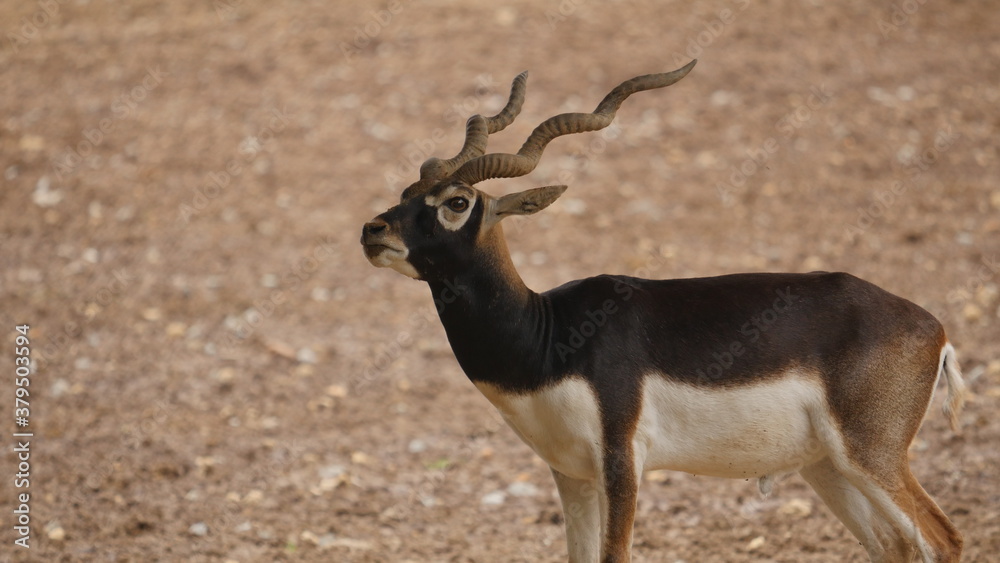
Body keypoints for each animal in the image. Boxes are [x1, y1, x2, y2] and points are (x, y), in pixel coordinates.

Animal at [360, 60, 966, 562]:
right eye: (407, 194)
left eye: (457, 202)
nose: (373, 230)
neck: (548, 337)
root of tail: (933, 329)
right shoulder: (570, 473)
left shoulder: (621, 462)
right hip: (829, 467)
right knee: (896, 547)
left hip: (871, 454)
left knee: (943, 540)